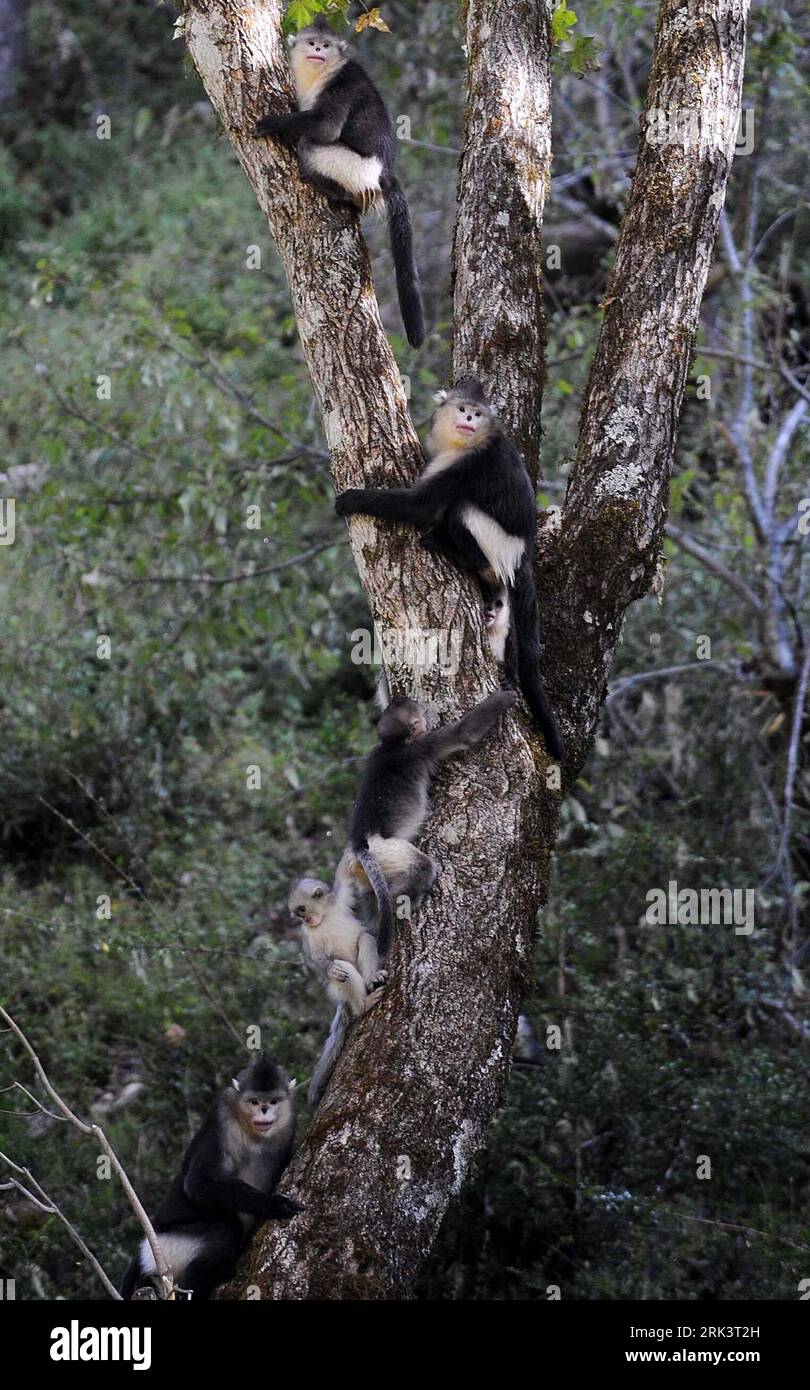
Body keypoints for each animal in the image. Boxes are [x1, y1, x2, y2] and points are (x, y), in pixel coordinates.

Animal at [120, 1056, 301, 1301]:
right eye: (254, 1102)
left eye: (273, 1101)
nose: (264, 1110)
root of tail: (145, 1250)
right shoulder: (221, 1115)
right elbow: (198, 1182)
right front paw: (274, 1203)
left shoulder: (289, 1121)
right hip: (171, 1246)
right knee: (224, 1229)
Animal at [253, 16, 425, 348]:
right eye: (312, 42)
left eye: (326, 44)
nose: (318, 49)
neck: (321, 73)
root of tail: (386, 173)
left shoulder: (341, 85)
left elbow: (326, 128)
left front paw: (273, 122)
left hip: (356, 169)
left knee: (311, 144)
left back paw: (337, 193)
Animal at [289, 875, 387, 1105]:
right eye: (298, 914)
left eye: (302, 909)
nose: (306, 920)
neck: (323, 918)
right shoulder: (307, 935)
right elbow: (315, 961)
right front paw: (329, 969)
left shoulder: (340, 900)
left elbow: (345, 879)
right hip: (340, 986)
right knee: (345, 968)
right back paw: (362, 1005)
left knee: (365, 939)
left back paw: (372, 978)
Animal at [335, 379, 564, 760]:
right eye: (463, 409)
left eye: (479, 414)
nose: (469, 418)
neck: (466, 442)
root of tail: (522, 557)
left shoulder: (468, 464)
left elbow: (422, 506)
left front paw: (352, 499)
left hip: (496, 548)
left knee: (461, 508)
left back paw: (455, 551)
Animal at [338, 689, 517, 956]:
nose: (426, 715)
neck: (393, 745)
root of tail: (360, 843)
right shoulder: (422, 747)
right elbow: (464, 733)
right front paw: (503, 698)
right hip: (386, 852)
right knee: (421, 868)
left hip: (365, 869)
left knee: (369, 893)